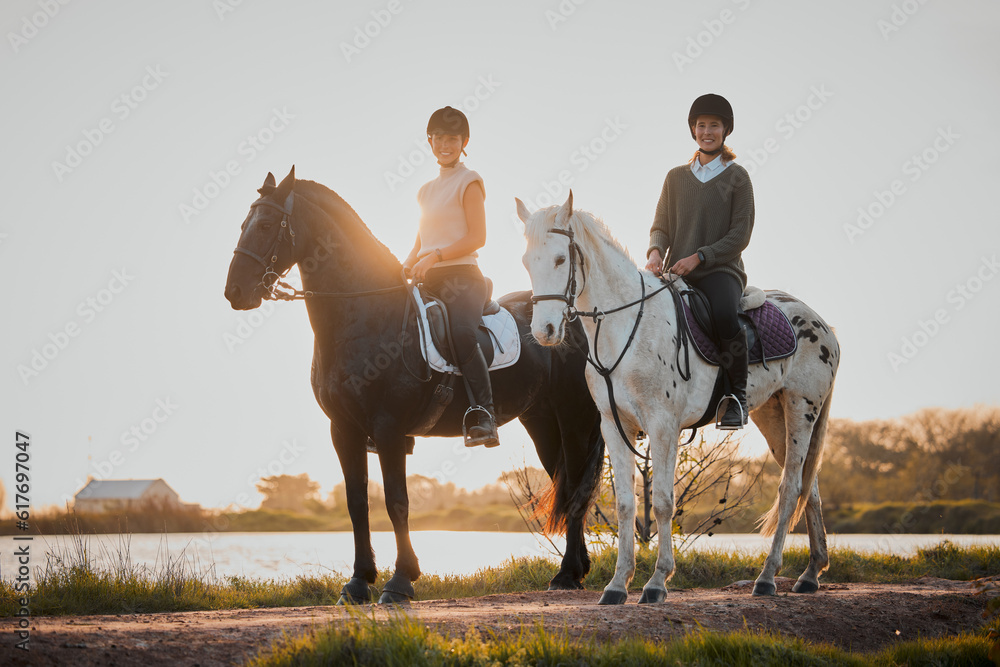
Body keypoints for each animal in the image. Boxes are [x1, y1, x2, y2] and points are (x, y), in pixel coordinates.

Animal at [224, 167, 605, 604]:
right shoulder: (344, 430)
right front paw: (358, 582)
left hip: (575, 416)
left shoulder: (388, 427)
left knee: (576, 486)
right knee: (568, 482)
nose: (235, 292)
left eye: (266, 225)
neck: (367, 312)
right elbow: (356, 503)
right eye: (244, 223)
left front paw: (400, 581)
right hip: (542, 421)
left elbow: (396, 501)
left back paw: (567, 573)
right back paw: (575, 570)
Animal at [517, 192, 840, 602]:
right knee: (808, 489)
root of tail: (822, 324)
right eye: (527, 261)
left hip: (801, 409)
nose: (544, 331)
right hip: (773, 416)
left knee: (790, 489)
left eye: (561, 259)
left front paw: (656, 582)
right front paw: (617, 585)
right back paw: (811, 573)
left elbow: (662, 503)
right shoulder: (614, 427)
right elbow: (626, 505)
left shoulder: (663, 426)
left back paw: (767, 578)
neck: (626, 328)